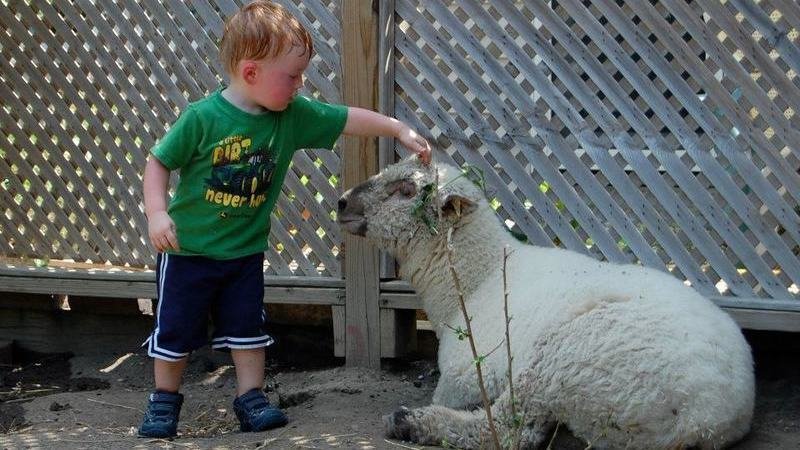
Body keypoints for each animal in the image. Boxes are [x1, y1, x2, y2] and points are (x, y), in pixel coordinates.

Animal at [337, 156, 755, 449]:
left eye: (407, 190)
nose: (341, 203)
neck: (479, 280)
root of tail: (707, 419)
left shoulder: (466, 374)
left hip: (563, 360)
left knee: (508, 431)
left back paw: (411, 422)